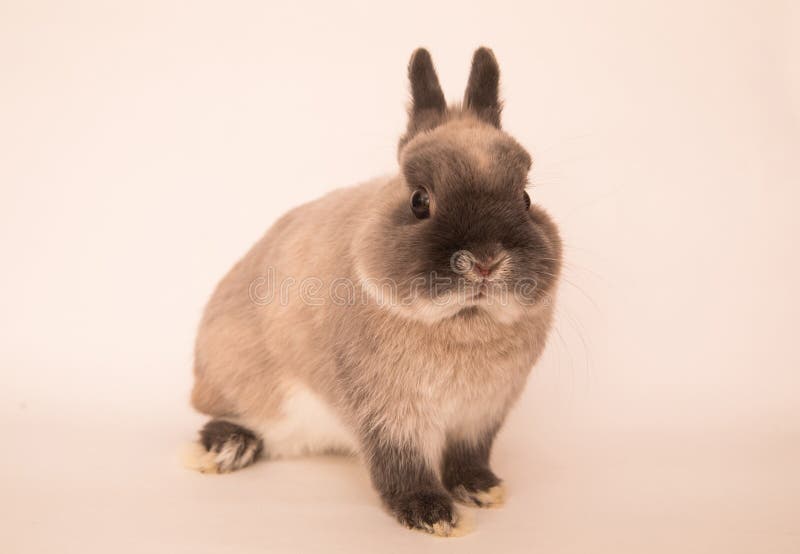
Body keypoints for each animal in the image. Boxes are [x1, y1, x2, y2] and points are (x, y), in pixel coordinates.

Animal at [186, 47, 562, 536]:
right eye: (419, 200)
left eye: (525, 199)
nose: (486, 261)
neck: (462, 322)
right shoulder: (388, 416)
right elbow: (399, 465)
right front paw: (432, 515)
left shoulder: (481, 414)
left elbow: (469, 456)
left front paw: (482, 489)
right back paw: (227, 448)